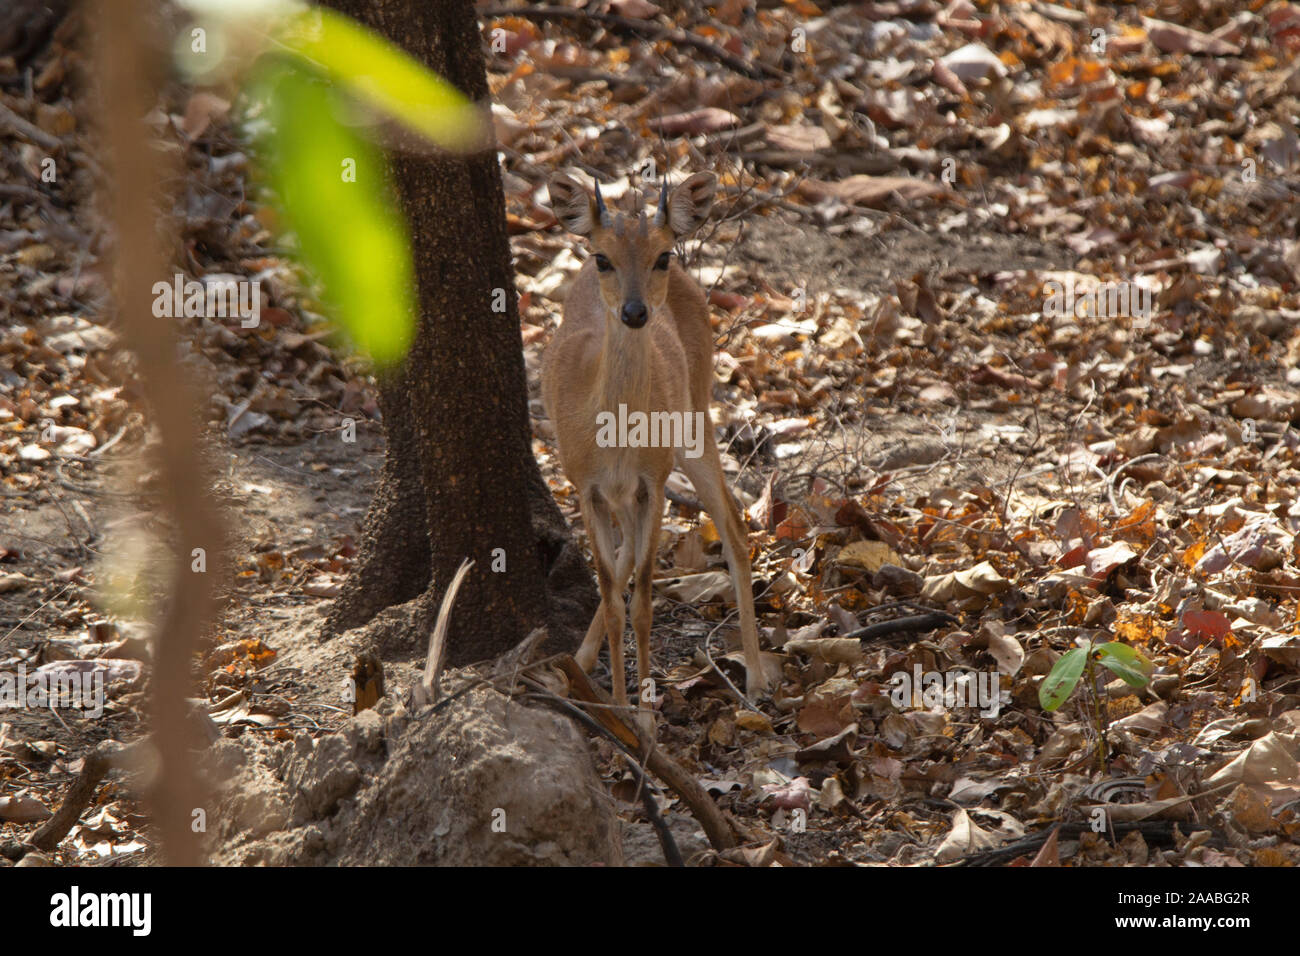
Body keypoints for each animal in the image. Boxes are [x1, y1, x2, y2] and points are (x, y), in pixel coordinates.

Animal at [542, 171, 770, 728]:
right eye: (602, 258)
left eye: (662, 255)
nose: (635, 311)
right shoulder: (586, 485)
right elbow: (612, 593)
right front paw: (619, 707)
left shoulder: (654, 480)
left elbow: (643, 602)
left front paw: (644, 718)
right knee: (626, 551)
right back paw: (578, 662)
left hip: (694, 418)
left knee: (733, 524)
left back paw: (756, 680)